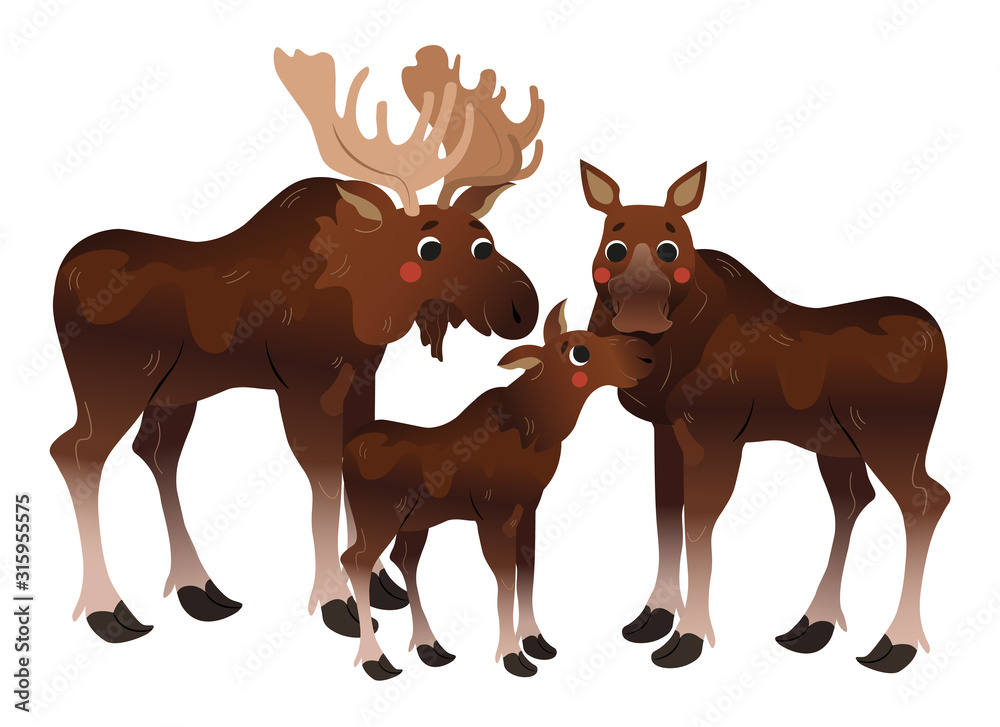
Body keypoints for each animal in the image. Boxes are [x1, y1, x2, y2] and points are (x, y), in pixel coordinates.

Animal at [48, 45, 545, 644]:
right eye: (430, 247)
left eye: (484, 236)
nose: (521, 305)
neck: (366, 296)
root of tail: (60, 276)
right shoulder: (305, 386)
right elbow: (324, 484)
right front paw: (336, 601)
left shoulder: (359, 379)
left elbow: (353, 465)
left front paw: (379, 586)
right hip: (114, 386)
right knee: (77, 452)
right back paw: (108, 608)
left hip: (175, 391)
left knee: (156, 453)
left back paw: (198, 587)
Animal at [340, 301, 656, 679]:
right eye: (579, 352)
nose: (644, 354)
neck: (539, 435)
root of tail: (346, 451)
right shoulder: (493, 516)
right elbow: (504, 581)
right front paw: (511, 654)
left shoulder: (528, 510)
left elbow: (527, 571)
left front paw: (535, 640)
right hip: (380, 519)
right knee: (356, 559)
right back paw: (375, 658)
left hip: (416, 523)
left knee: (404, 560)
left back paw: (429, 646)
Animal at [579, 161, 949, 674]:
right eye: (613, 247)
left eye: (671, 247)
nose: (640, 318)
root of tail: (938, 337)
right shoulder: (666, 432)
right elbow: (665, 514)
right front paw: (654, 615)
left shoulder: (715, 438)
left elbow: (697, 528)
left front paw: (689, 636)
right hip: (836, 445)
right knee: (854, 500)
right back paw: (814, 624)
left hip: (891, 438)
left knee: (924, 500)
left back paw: (898, 642)